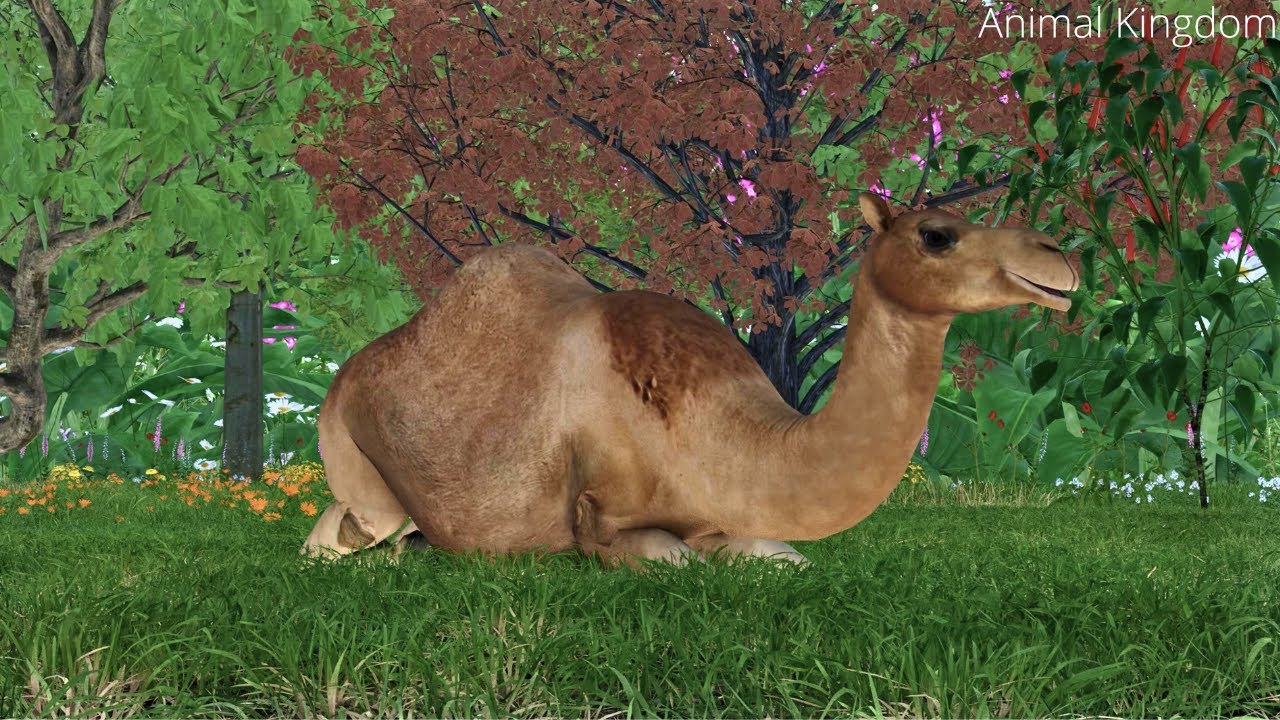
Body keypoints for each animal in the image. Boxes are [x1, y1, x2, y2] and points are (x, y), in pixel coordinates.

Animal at [302, 192, 1078, 567]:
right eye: (936, 234)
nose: (1060, 256)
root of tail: (347, 372)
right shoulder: (601, 515)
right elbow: (665, 557)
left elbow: (783, 559)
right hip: (344, 444)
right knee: (346, 531)